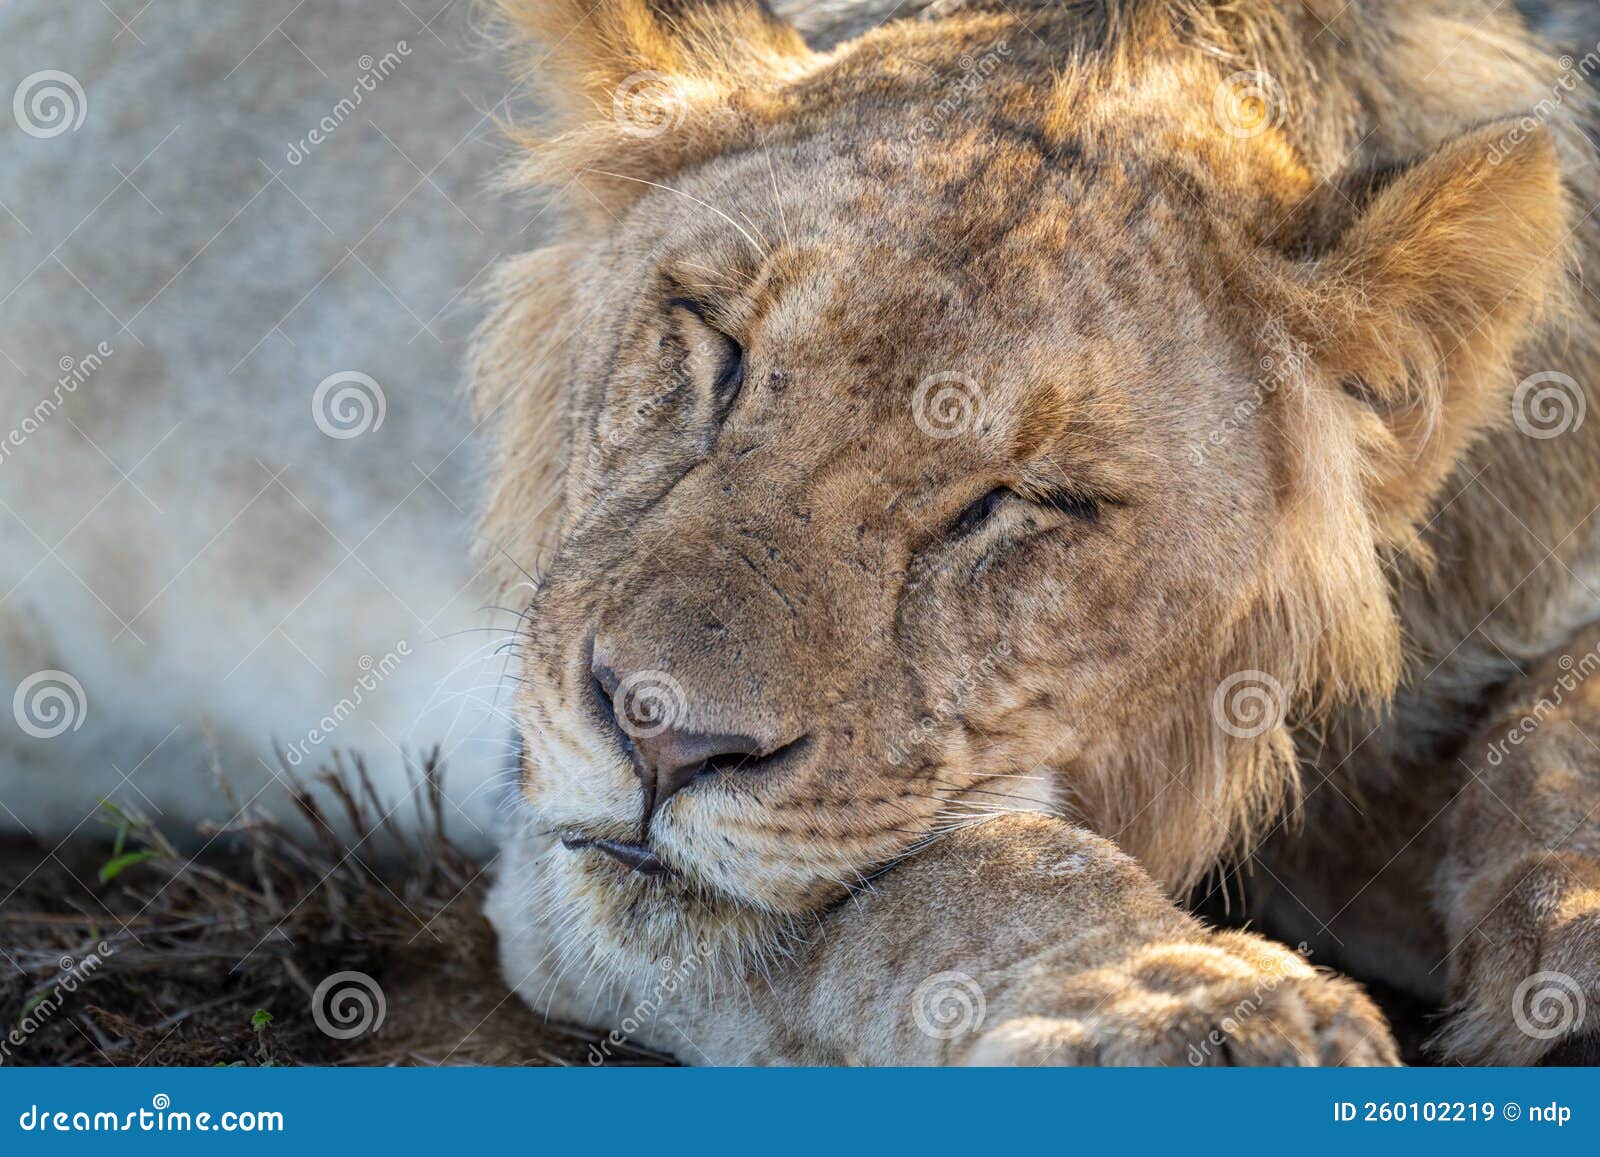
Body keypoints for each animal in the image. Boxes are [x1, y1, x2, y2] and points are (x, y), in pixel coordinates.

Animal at [478, 0, 1600, 1064]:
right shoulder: (542, 858)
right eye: (722, 346)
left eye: (1029, 499)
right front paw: (1186, 997)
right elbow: (967, 872)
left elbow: (1557, 704)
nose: (662, 735)